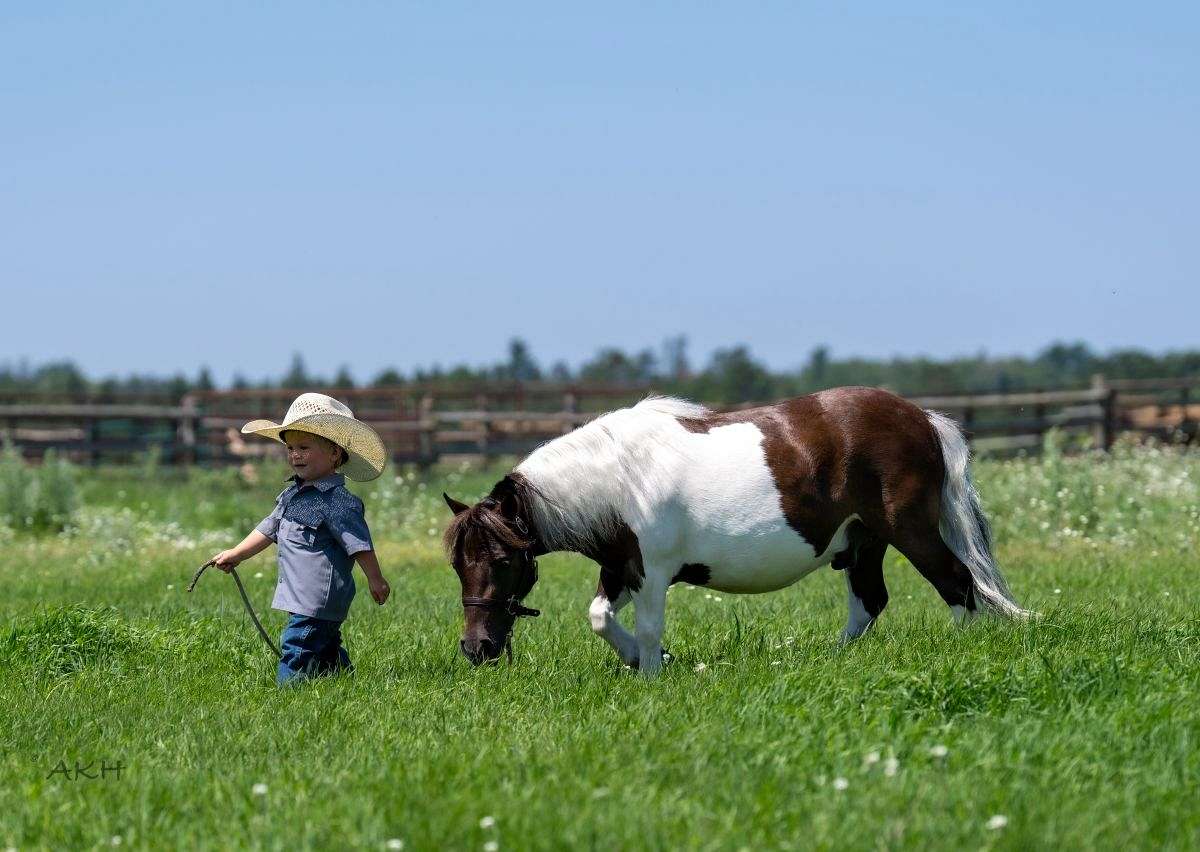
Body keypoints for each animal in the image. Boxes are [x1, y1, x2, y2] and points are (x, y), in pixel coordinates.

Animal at [443, 387, 1027, 674]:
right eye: (456, 565)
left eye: (502, 561)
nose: (476, 649)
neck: (620, 478)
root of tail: (924, 418)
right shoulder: (622, 568)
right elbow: (599, 618)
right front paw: (640, 661)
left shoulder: (652, 574)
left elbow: (649, 630)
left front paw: (651, 673)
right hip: (863, 543)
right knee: (870, 602)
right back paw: (830, 658)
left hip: (911, 532)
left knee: (957, 585)